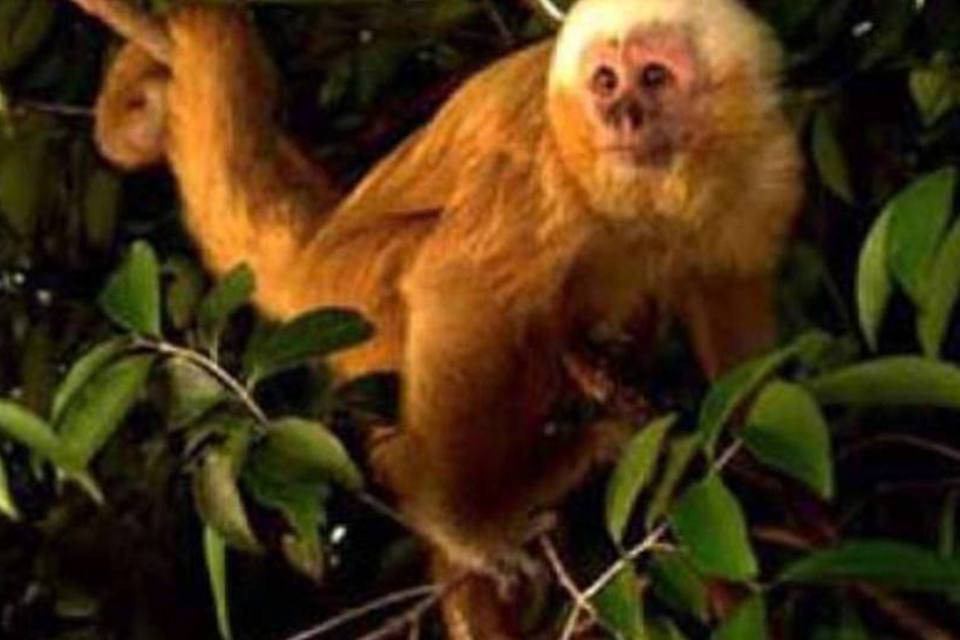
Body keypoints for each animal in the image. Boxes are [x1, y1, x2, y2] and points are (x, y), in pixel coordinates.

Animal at [89, 0, 802, 637]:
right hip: (360, 296)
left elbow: (727, 294)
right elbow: (458, 292)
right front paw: (473, 533)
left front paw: (751, 460)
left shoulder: (765, 163)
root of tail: (317, 252)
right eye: (606, 80)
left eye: (653, 77)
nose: (621, 113)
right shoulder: (543, 169)